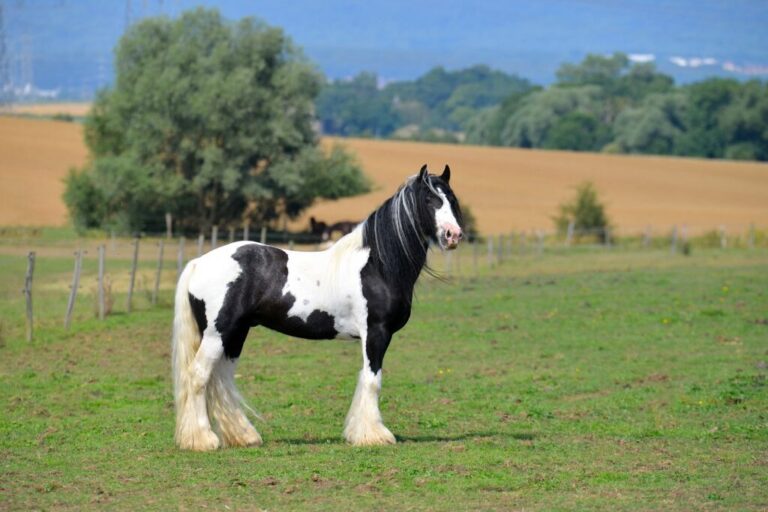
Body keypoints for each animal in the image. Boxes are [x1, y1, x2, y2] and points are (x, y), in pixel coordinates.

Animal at [172, 164, 464, 450]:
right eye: (429, 199)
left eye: (451, 198)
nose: (453, 235)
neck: (377, 265)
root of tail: (198, 262)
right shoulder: (376, 332)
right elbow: (372, 381)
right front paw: (373, 435)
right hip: (217, 334)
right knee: (198, 376)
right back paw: (202, 440)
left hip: (236, 333)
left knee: (220, 379)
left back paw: (243, 436)